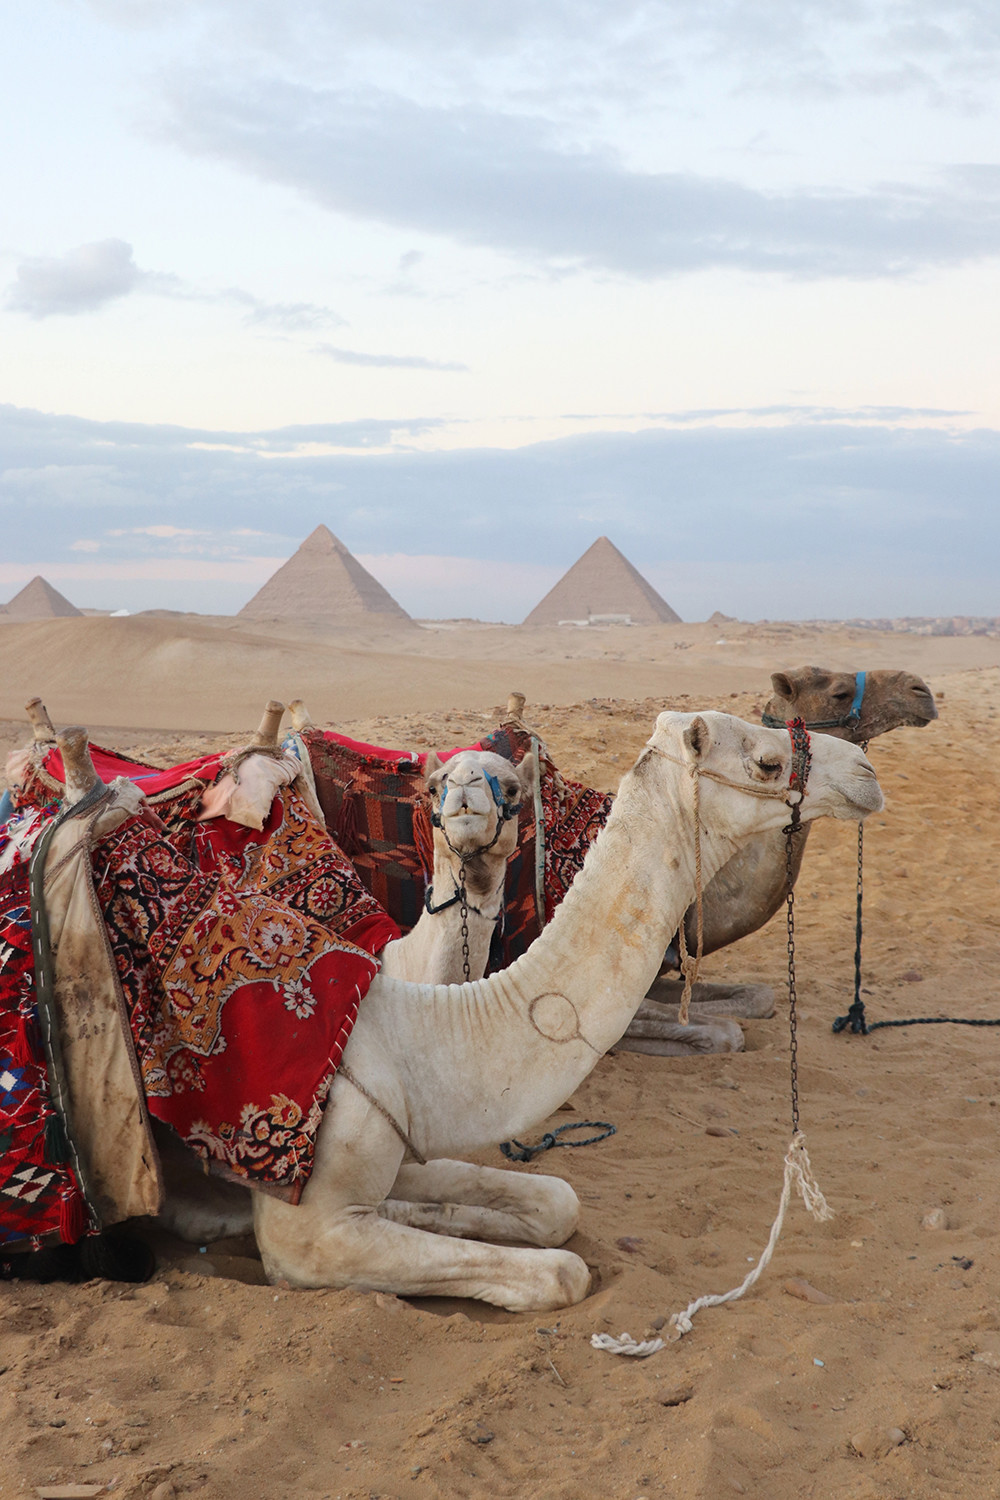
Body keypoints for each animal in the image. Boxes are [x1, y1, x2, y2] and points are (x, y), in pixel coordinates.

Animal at [55, 710, 881, 1309]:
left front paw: (444, 1217)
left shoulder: (402, 1145)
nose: (867, 772)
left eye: (512, 790)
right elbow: (560, 1273)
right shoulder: (309, 1232)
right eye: (767, 761)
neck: (407, 1026)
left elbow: (555, 1200)